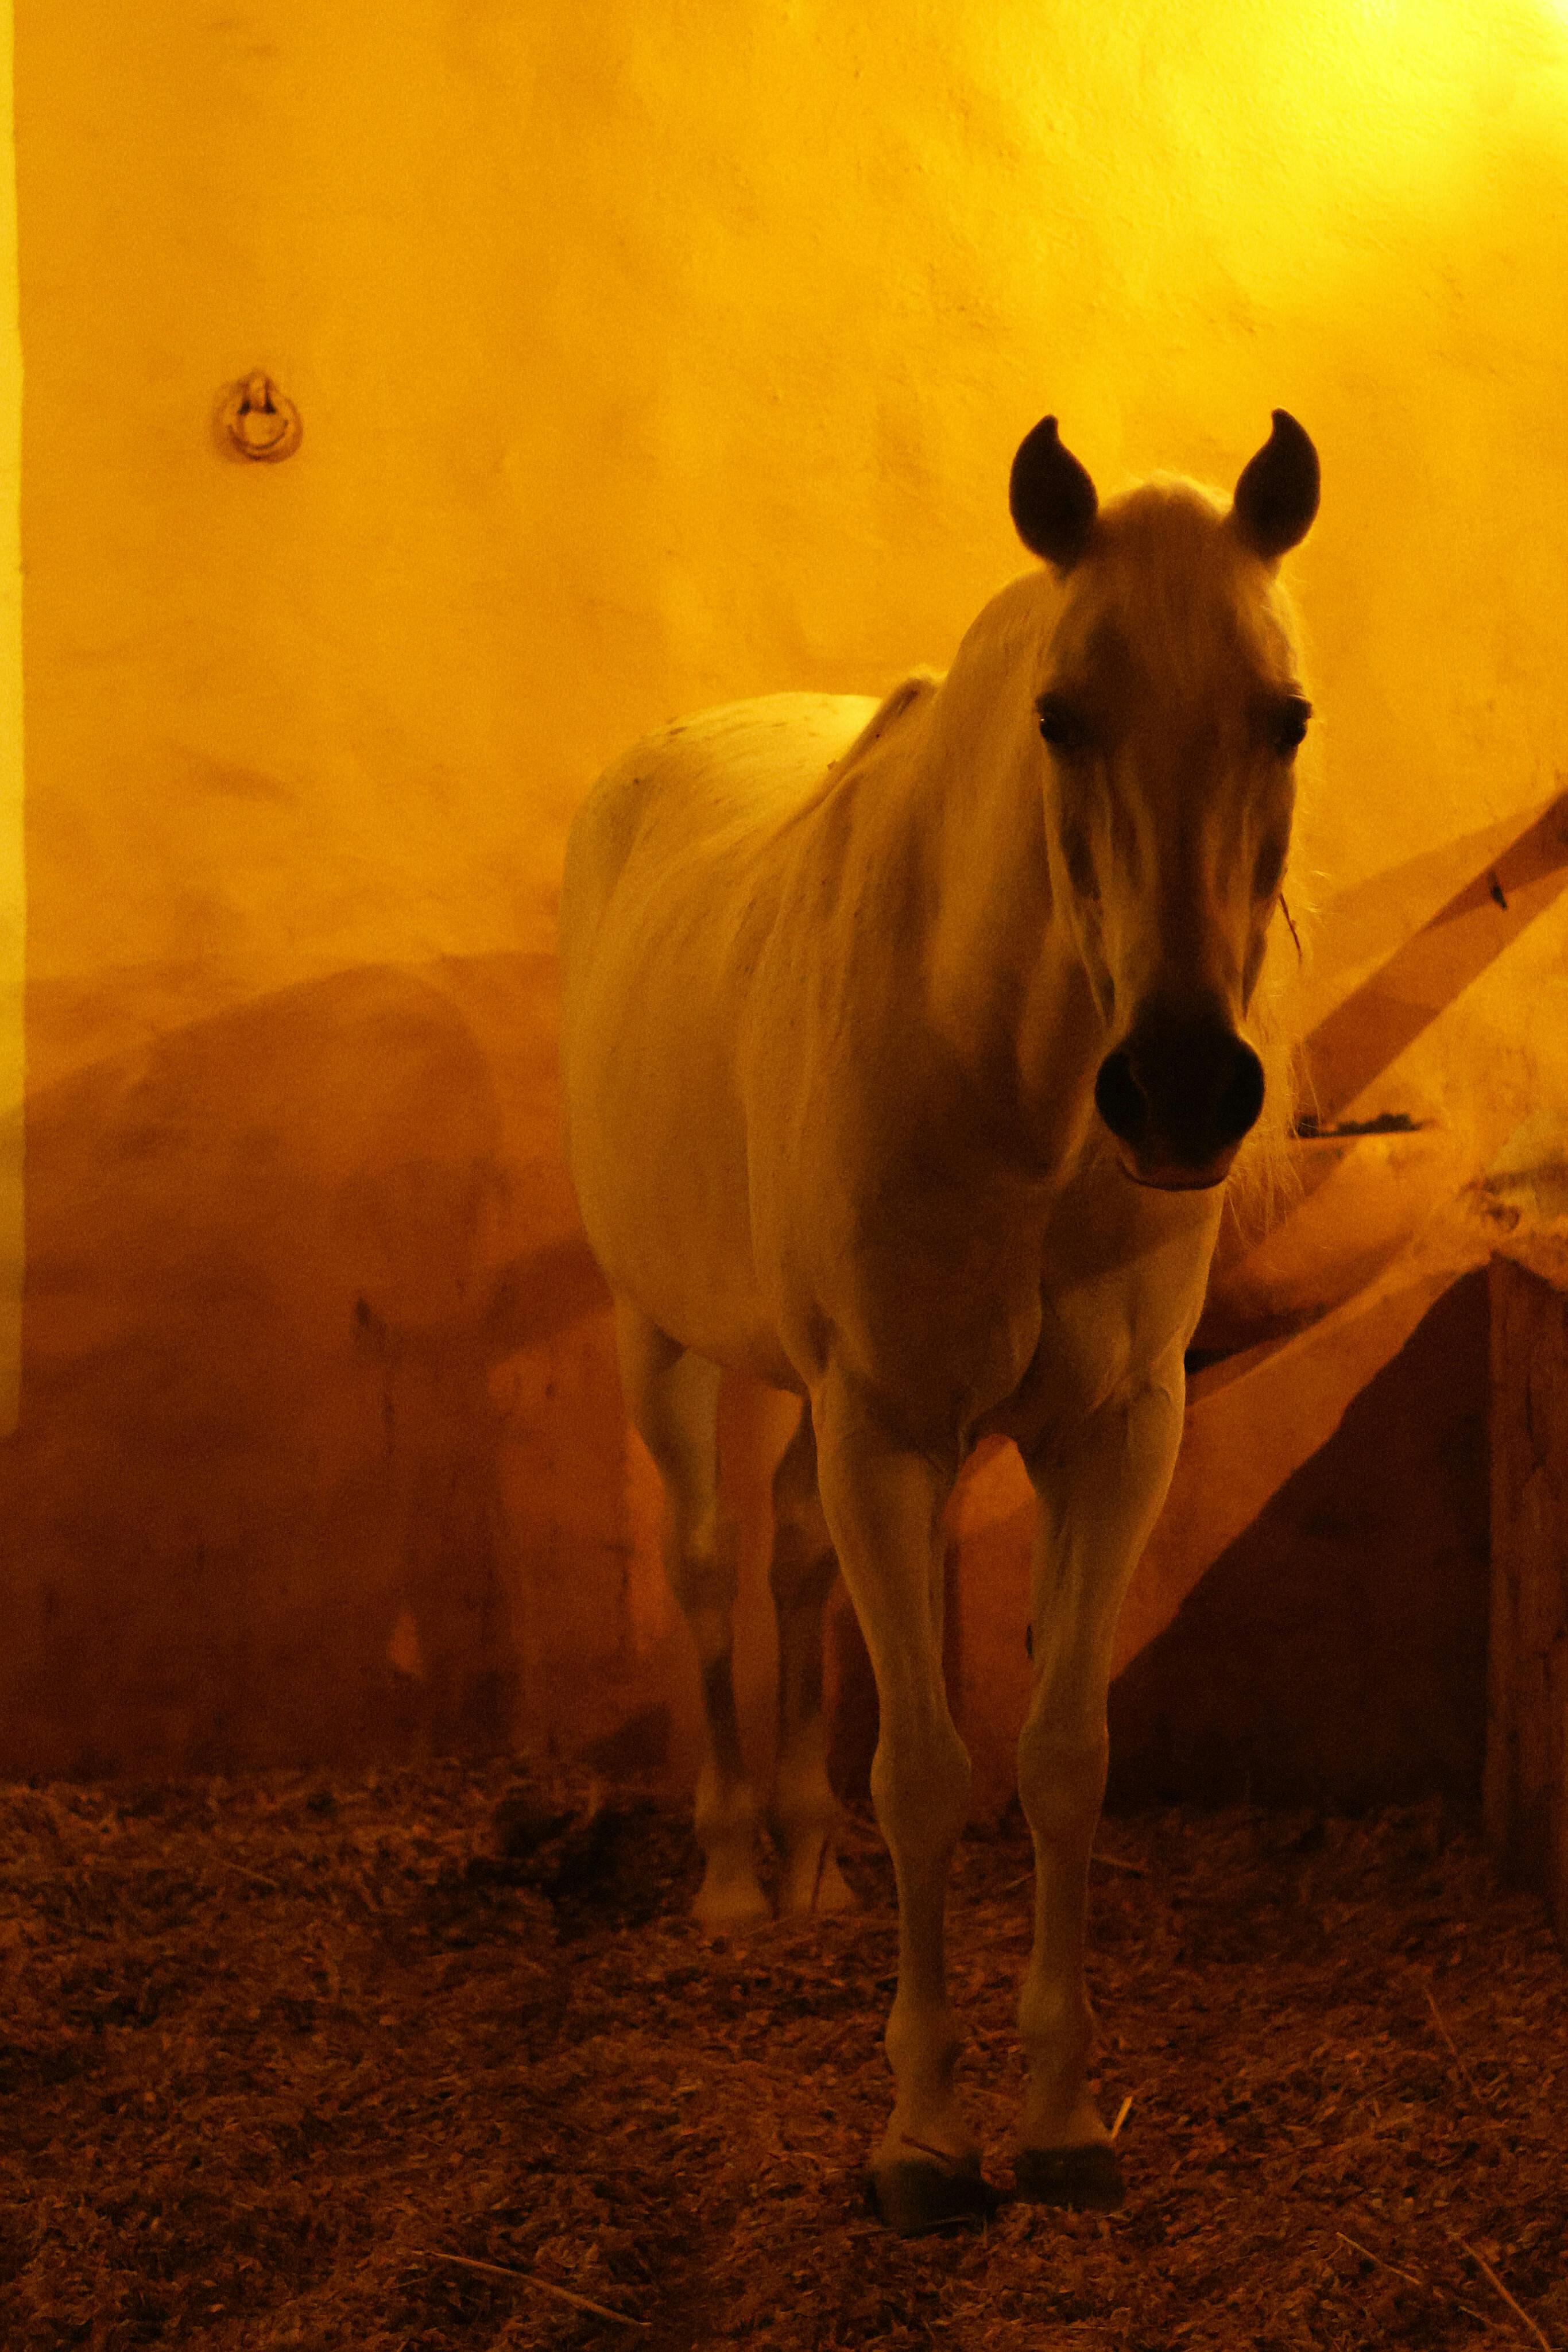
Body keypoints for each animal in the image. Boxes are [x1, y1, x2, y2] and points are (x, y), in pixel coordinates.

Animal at [558, 408, 1320, 2233]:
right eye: (1061, 713)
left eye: (1285, 716)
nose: (1180, 1092)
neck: (1018, 1090)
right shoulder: (890, 1428)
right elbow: (922, 1769)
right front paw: (918, 2139)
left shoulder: (1109, 1437)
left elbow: (1059, 1756)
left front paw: (1054, 2122)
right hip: (662, 1339)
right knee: (709, 1566)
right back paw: (733, 1878)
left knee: (786, 1560)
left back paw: (807, 1865)